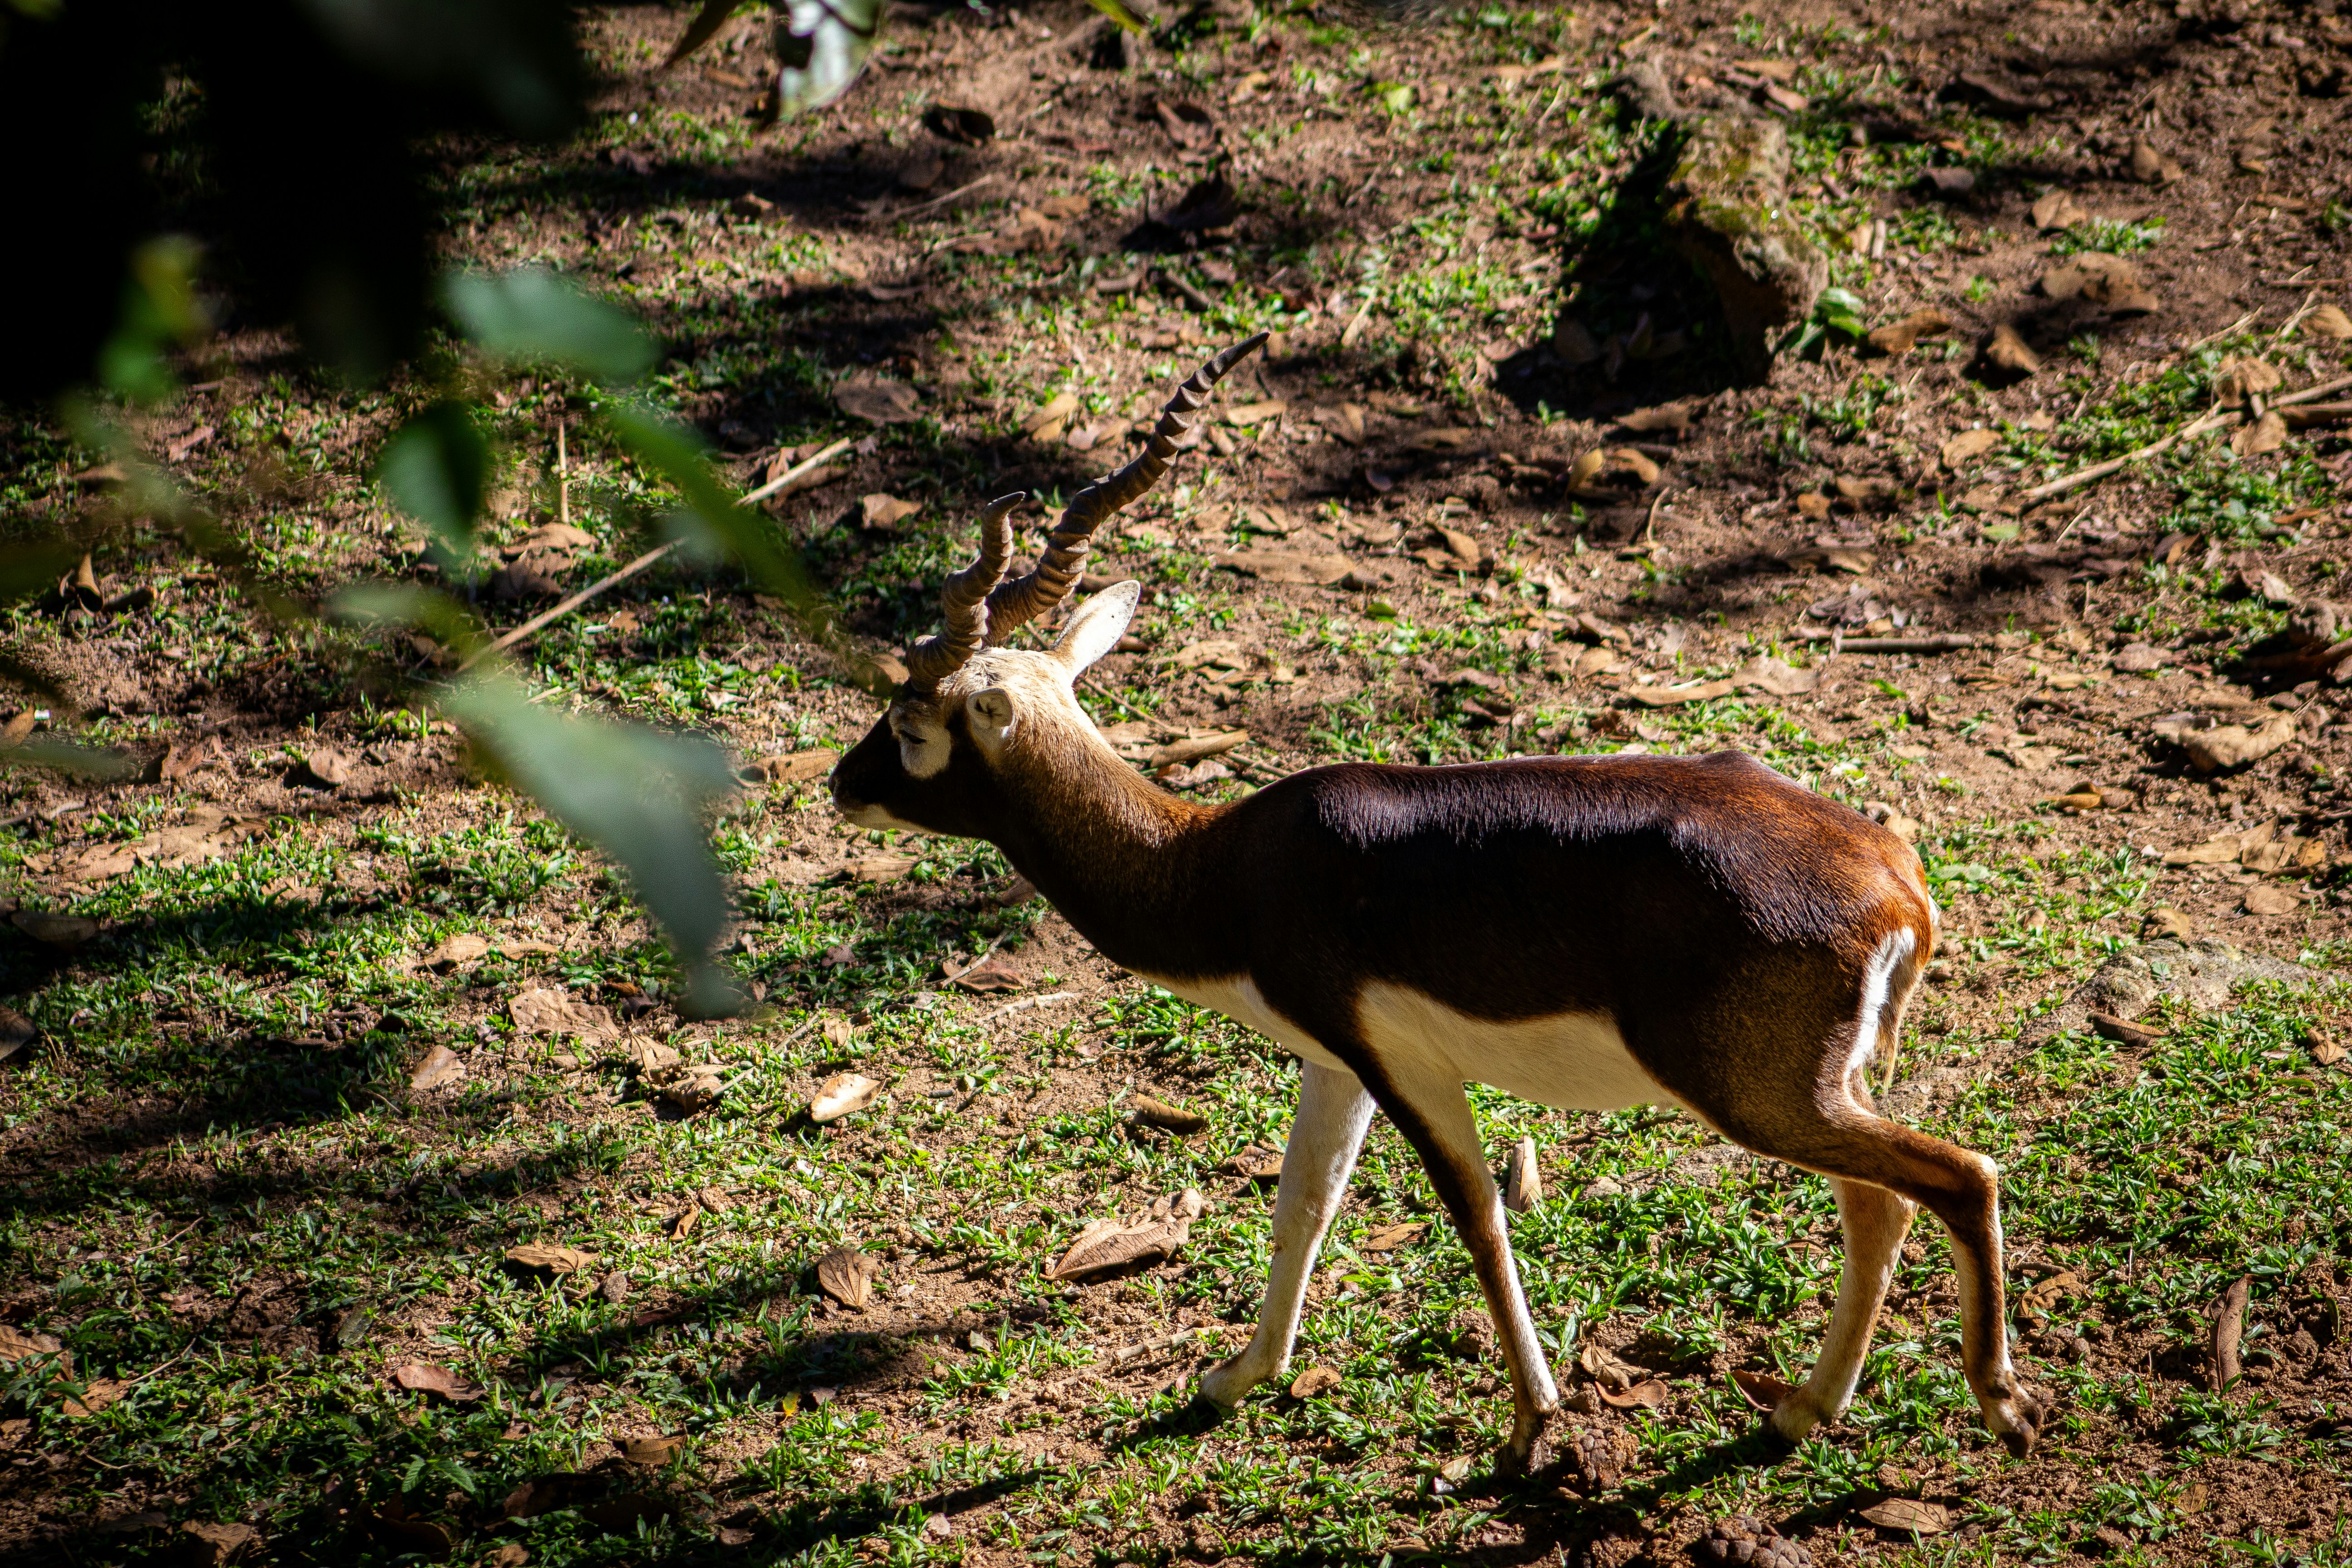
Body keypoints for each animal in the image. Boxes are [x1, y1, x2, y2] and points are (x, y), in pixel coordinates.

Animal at [828, 334, 2042, 1472]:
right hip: (1816, 1087)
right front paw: (1234, 1378)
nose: (842, 782)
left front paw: (1528, 1426)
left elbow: (1476, 1214)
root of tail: (1896, 881)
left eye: (908, 722)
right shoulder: (1336, 1061)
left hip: (1750, 1092)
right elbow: (1301, 1205)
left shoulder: (1402, 1060)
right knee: (1881, 1203)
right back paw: (1800, 1410)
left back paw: (1999, 1404)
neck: (1223, 865)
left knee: (1959, 1174)